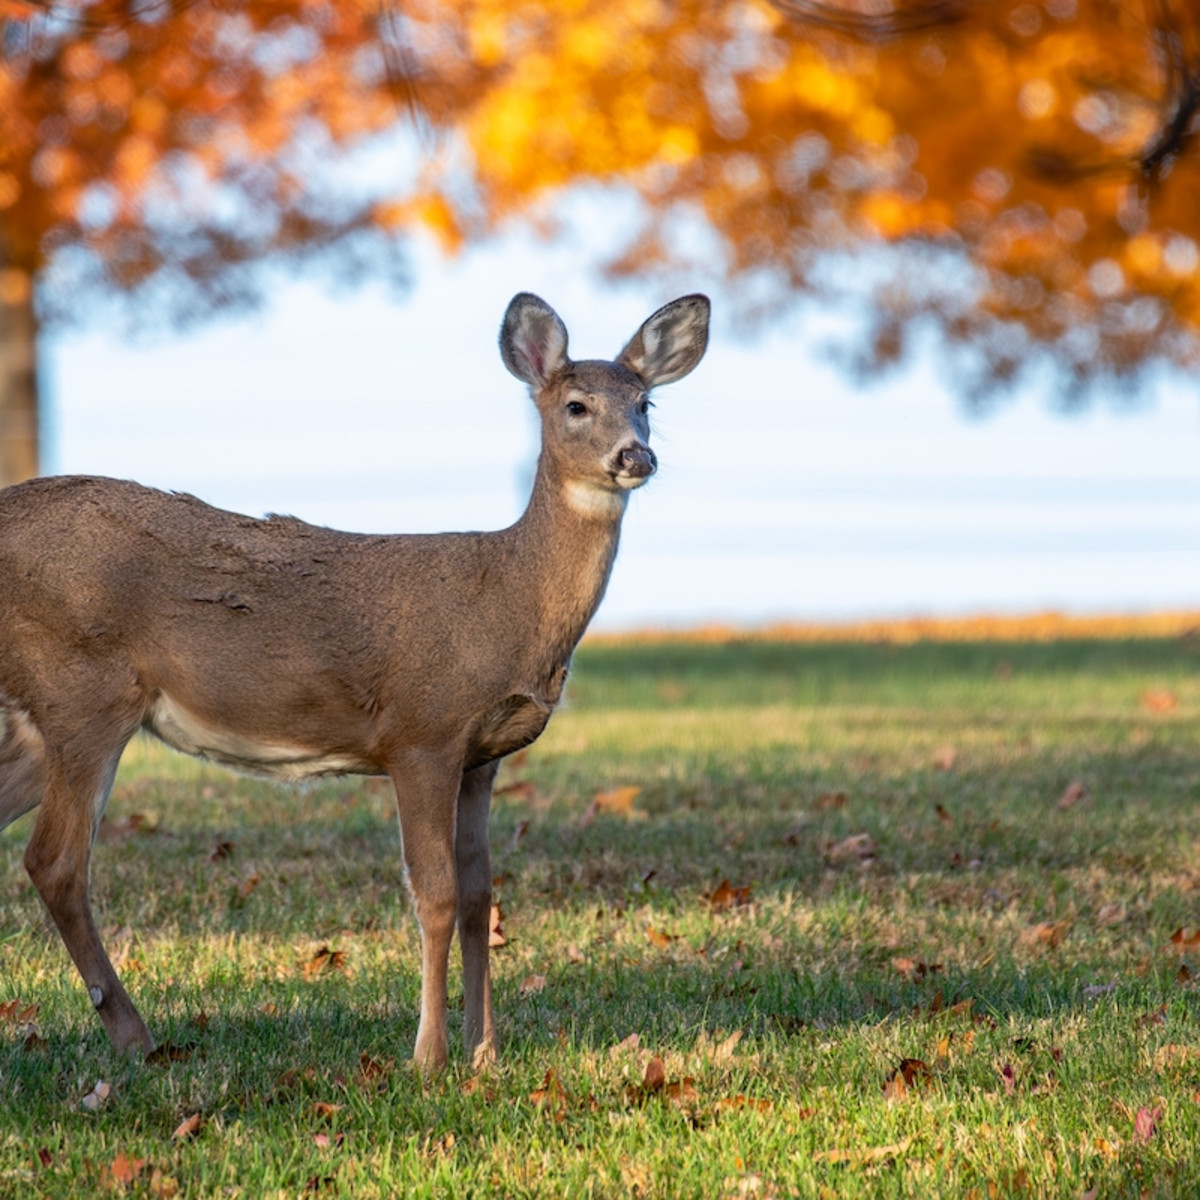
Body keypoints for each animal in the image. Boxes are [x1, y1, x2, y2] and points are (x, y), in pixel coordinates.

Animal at [0, 291, 710, 1070]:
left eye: (645, 402)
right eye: (577, 405)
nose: (635, 455)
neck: (507, 599)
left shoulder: (483, 756)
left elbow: (478, 897)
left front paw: (485, 1052)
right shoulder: (422, 731)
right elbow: (434, 894)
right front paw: (429, 1057)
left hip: (36, 717)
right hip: (83, 687)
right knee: (56, 861)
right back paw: (136, 1036)